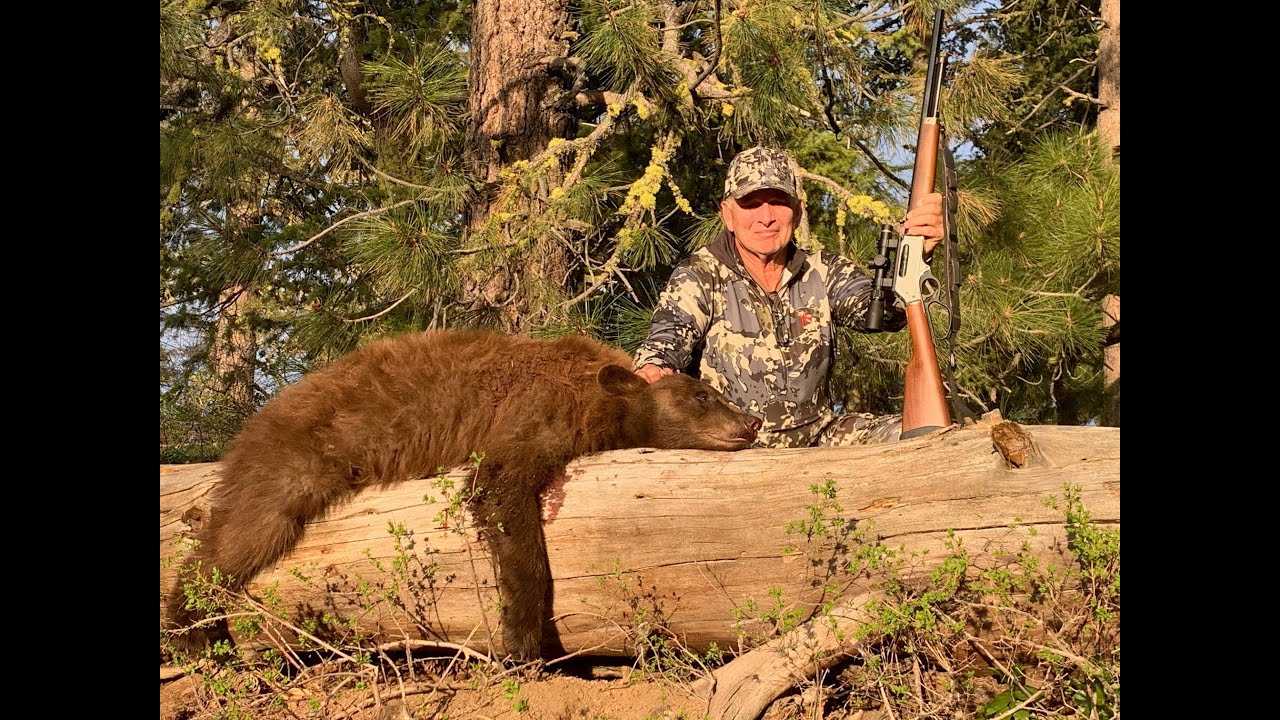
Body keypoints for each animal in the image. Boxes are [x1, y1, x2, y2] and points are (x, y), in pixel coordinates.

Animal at [165, 329, 761, 662]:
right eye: (704, 396)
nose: (751, 422)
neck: (592, 393)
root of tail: (256, 419)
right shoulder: (533, 410)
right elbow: (500, 492)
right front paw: (522, 639)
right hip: (294, 460)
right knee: (244, 532)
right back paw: (189, 630)